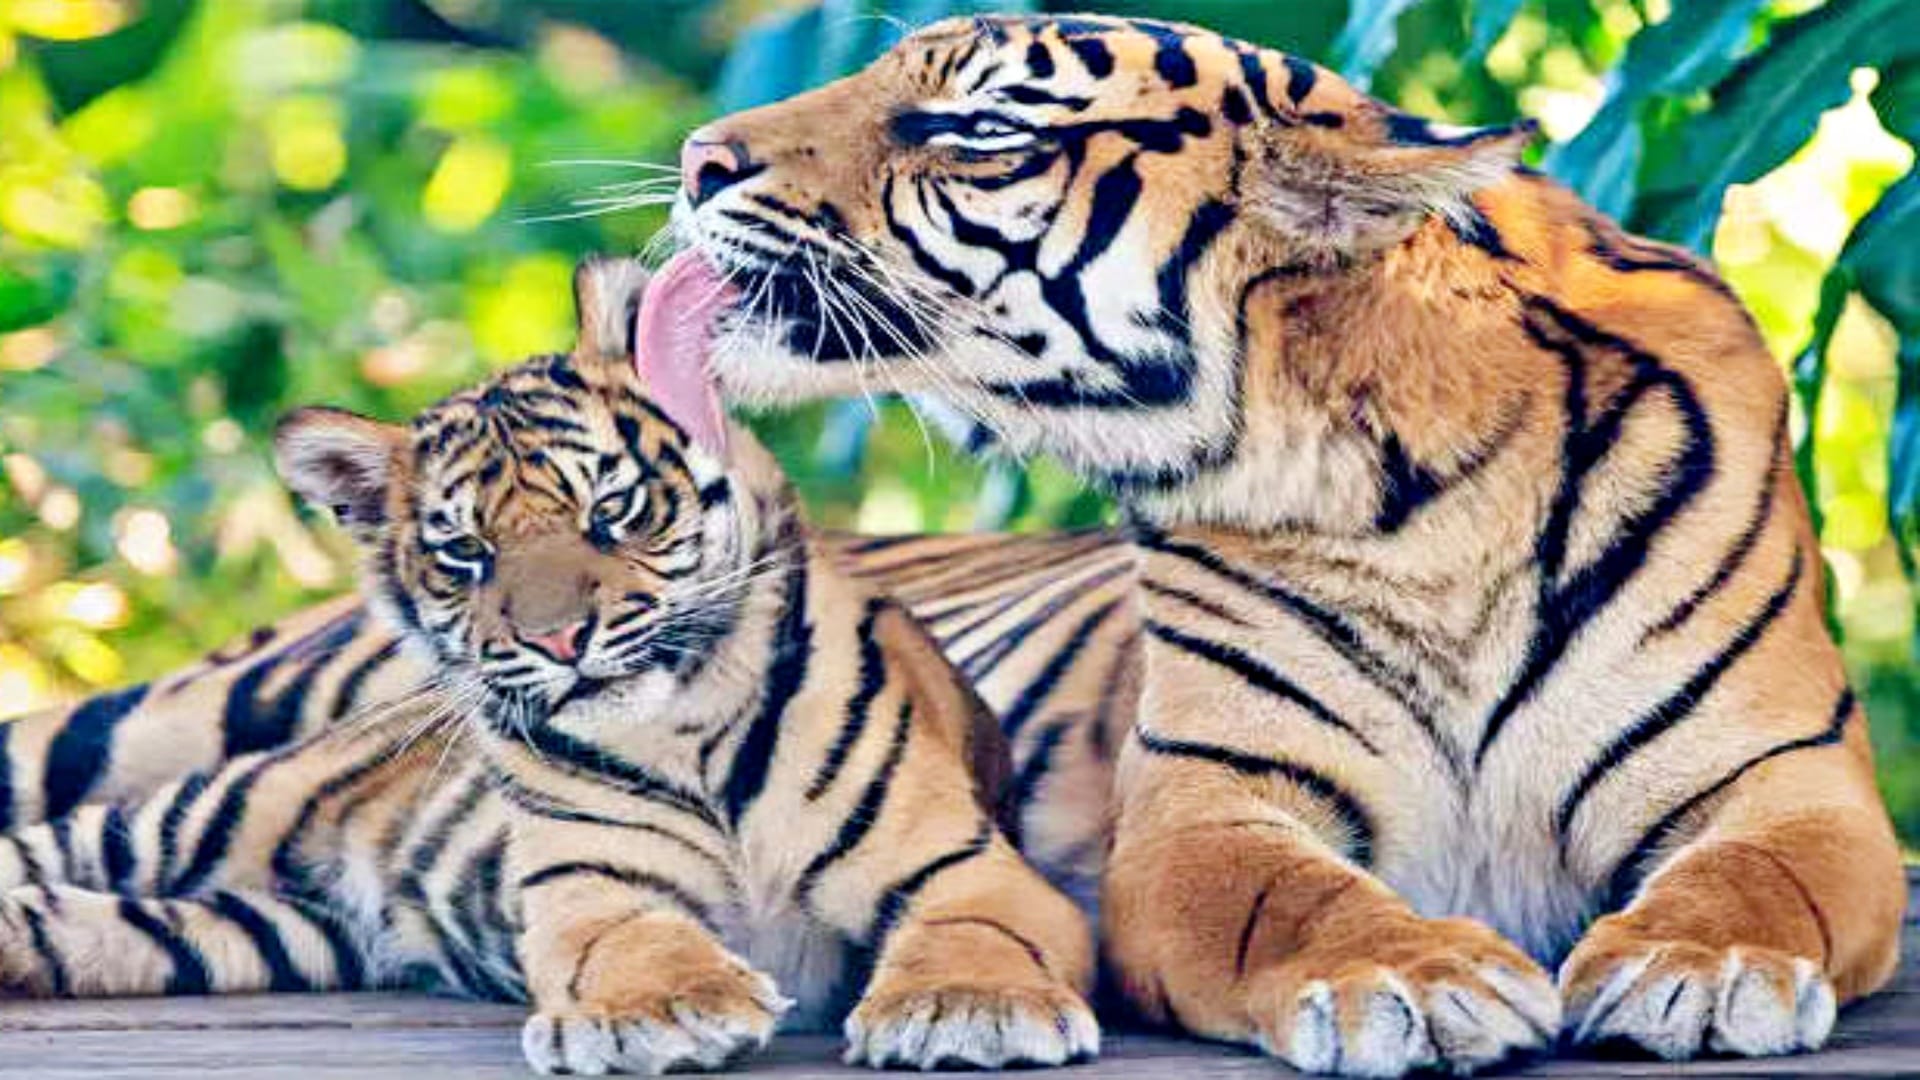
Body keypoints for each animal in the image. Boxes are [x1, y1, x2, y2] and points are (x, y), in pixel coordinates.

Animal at [0, 258, 1101, 1074]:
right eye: (465, 553)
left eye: (613, 510)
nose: (558, 640)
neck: (688, 728)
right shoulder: (596, 889)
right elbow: (632, 941)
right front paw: (661, 1012)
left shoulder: (967, 866)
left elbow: (979, 933)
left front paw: (967, 1009)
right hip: (198, 810)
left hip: (259, 926)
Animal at [634, 12, 1906, 1076]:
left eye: (981, 126)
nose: (697, 160)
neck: (1415, 498)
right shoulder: (1205, 810)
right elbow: (1295, 901)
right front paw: (1414, 977)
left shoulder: (1789, 777)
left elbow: (1754, 874)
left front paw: (1699, 966)